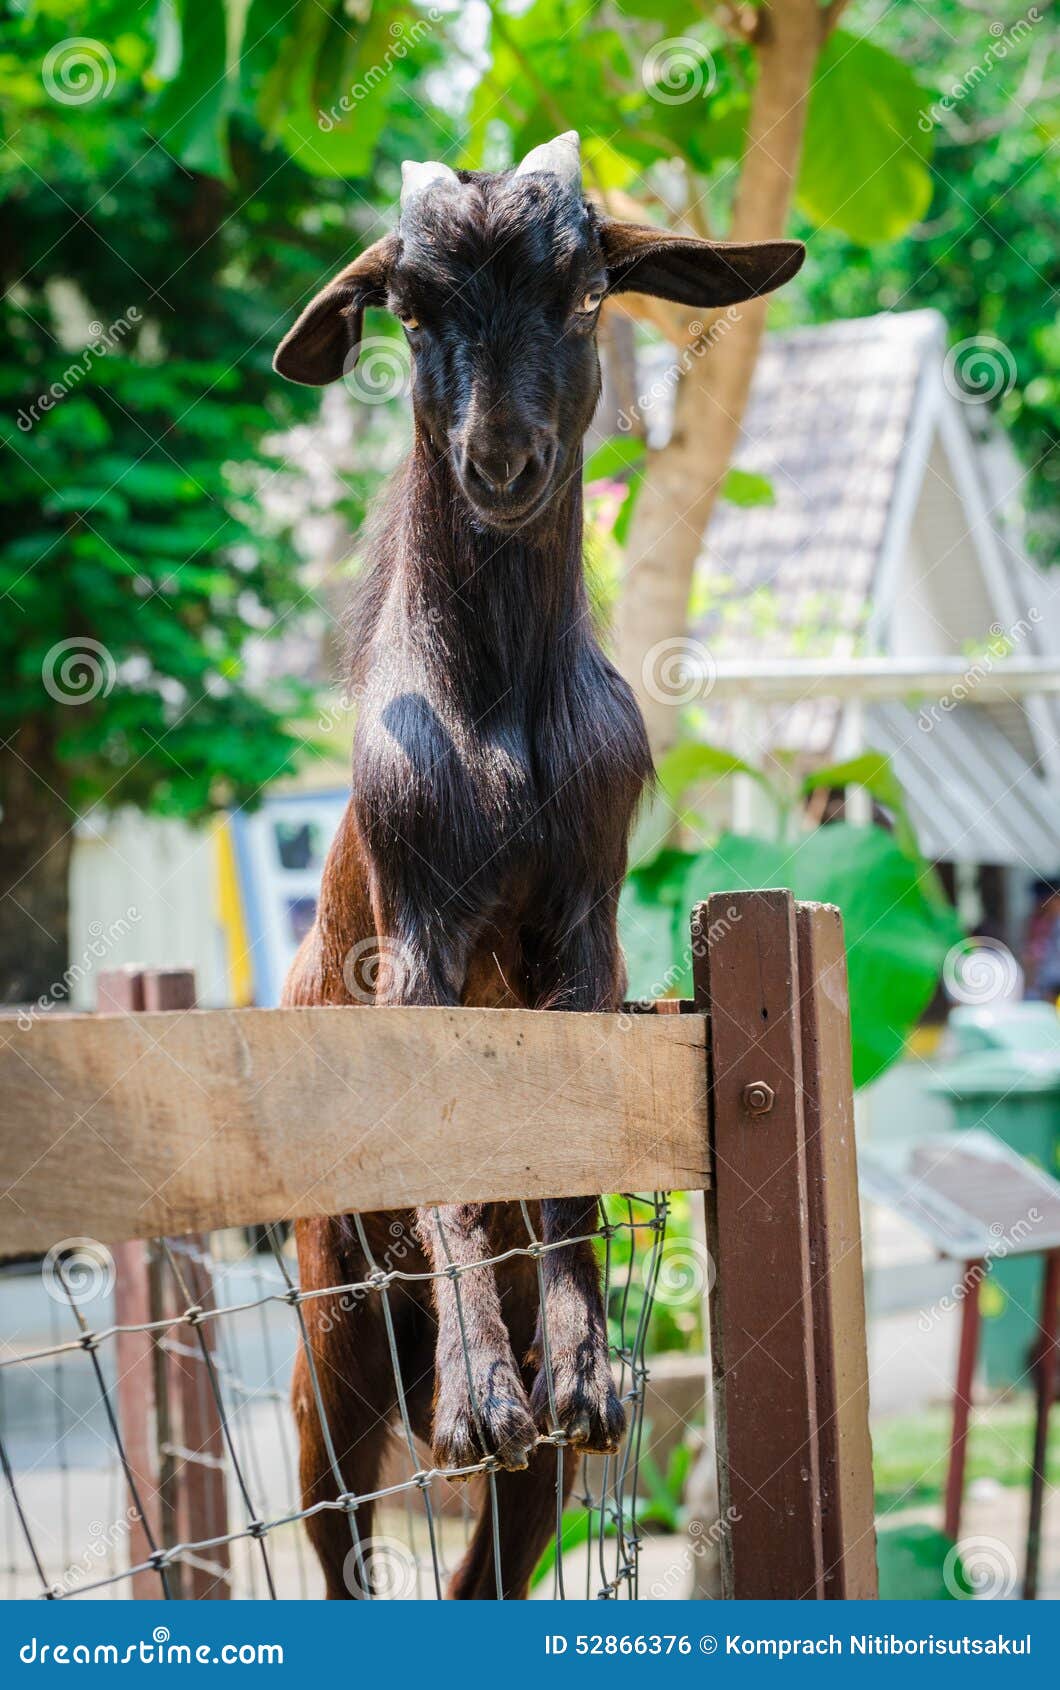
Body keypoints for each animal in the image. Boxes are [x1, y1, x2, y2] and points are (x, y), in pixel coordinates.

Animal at [273, 132, 804, 1599]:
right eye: (408, 312)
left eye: (584, 295)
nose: (500, 461)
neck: (500, 716)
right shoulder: (417, 935)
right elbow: (454, 1149)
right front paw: (481, 1400)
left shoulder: (586, 926)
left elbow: (569, 1153)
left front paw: (577, 1379)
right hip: (331, 1350)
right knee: (336, 1538)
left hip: (512, 1497)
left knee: (486, 1573)